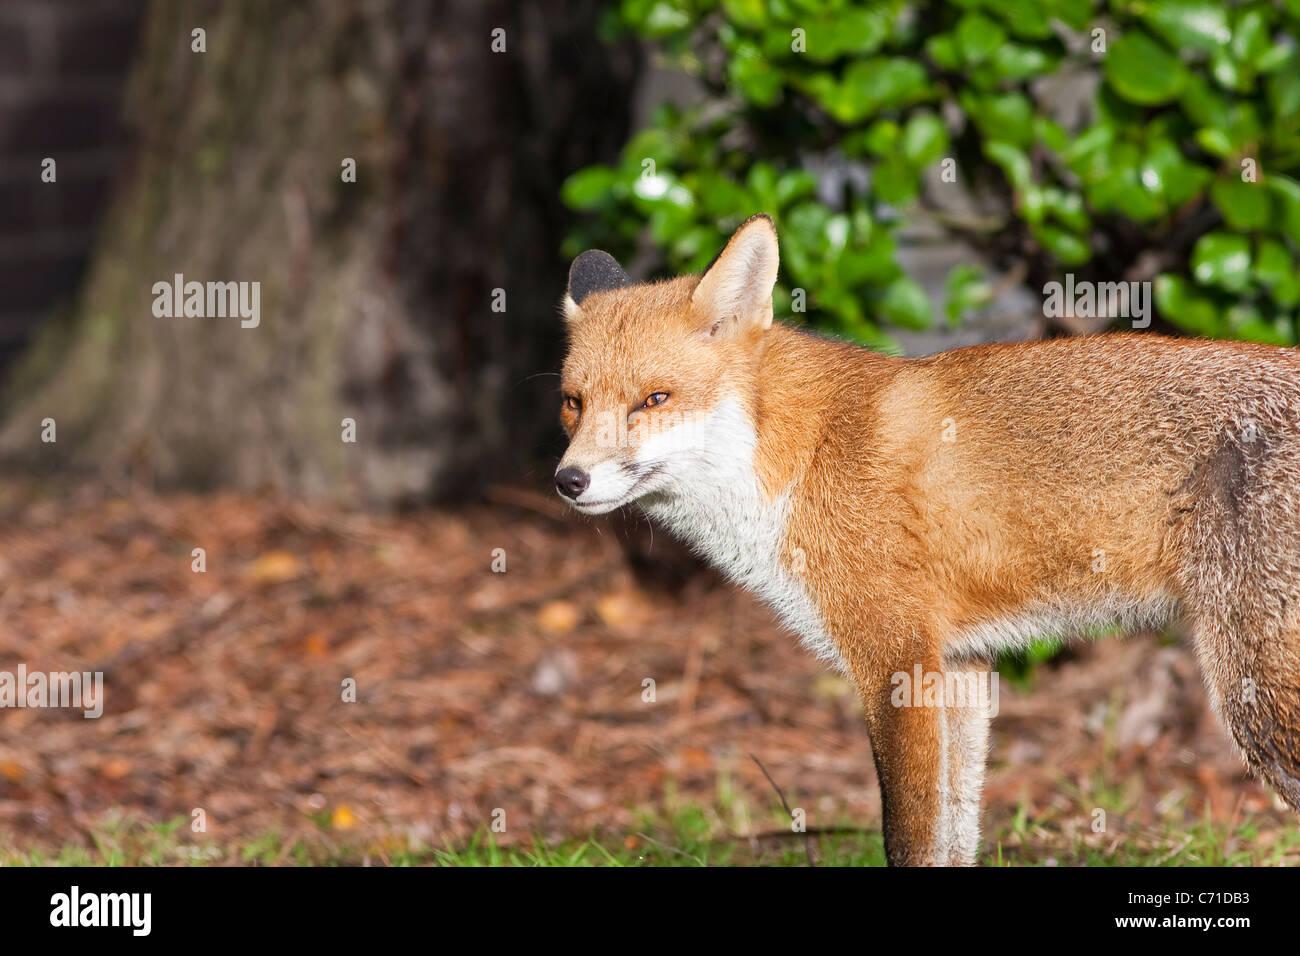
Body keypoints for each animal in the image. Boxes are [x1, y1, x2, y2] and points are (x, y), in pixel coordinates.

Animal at [554, 213, 1300, 865]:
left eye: (654, 399)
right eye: (573, 403)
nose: (568, 480)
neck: (801, 454)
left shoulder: (897, 661)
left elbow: (908, 840)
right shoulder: (962, 667)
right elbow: (953, 839)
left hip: (1254, 696)